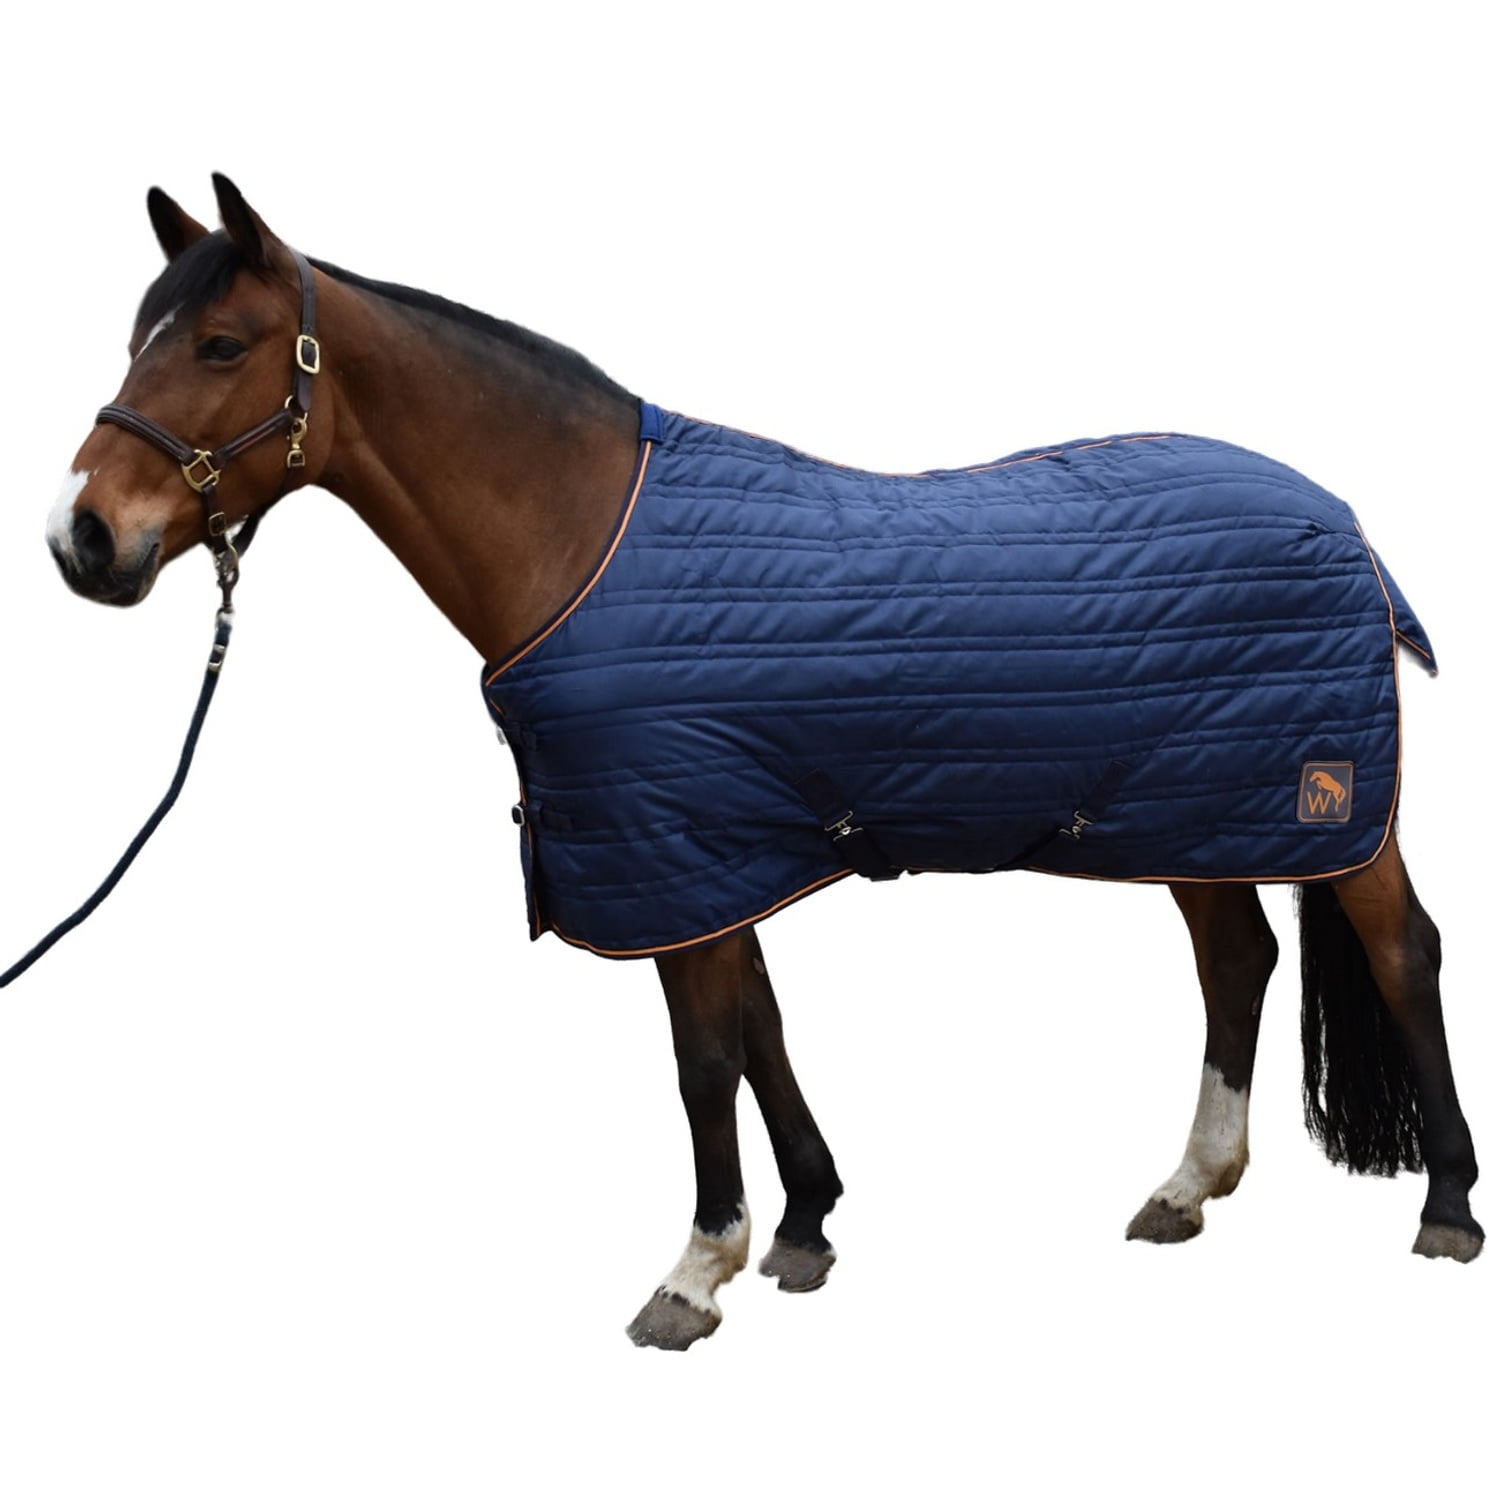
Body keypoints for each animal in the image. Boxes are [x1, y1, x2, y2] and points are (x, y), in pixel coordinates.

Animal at [45, 175, 1483, 1350]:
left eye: (221, 345)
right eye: (135, 340)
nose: (82, 538)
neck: (583, 541)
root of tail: (1345, 526)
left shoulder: (674, 856)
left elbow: (701, 1060)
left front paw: (696, 1272)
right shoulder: (717, 853)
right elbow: (759, 1031)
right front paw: (804, 1229)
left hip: (1325, 811)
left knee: (1400, 951)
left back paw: (1451, 1206)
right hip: (1196, 815)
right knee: (1237, 959)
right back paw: (1188, 1188)